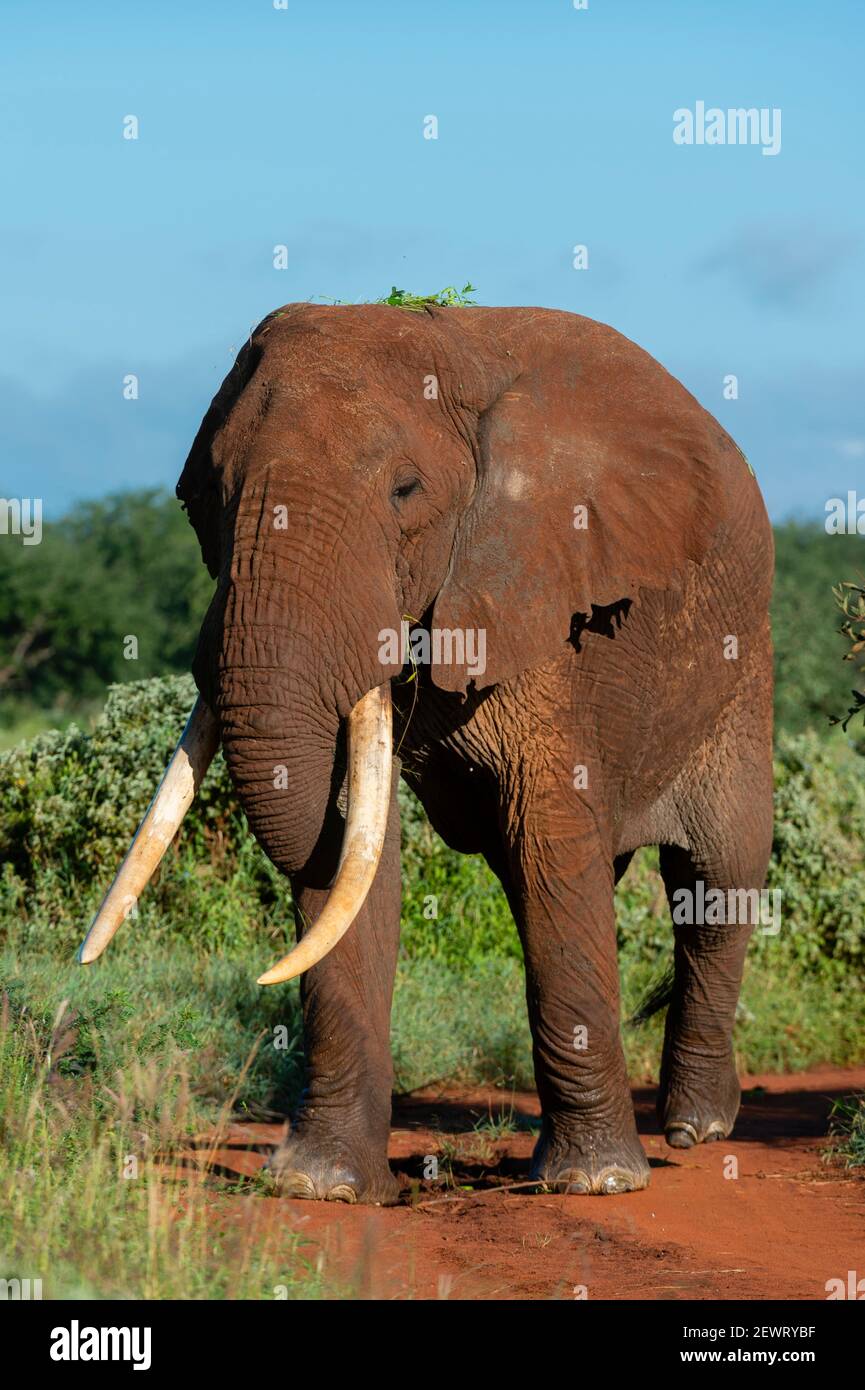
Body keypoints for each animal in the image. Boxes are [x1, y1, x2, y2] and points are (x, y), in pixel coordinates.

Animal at [80, 302, 774, 1202]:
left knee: (717, 876)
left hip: (741, 662)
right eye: (203, 498)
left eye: (404, 491)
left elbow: (546, 843)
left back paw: (696, 1128)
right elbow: (349, 851)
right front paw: (321, 1185)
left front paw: (593, 1183)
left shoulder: (535, 588)